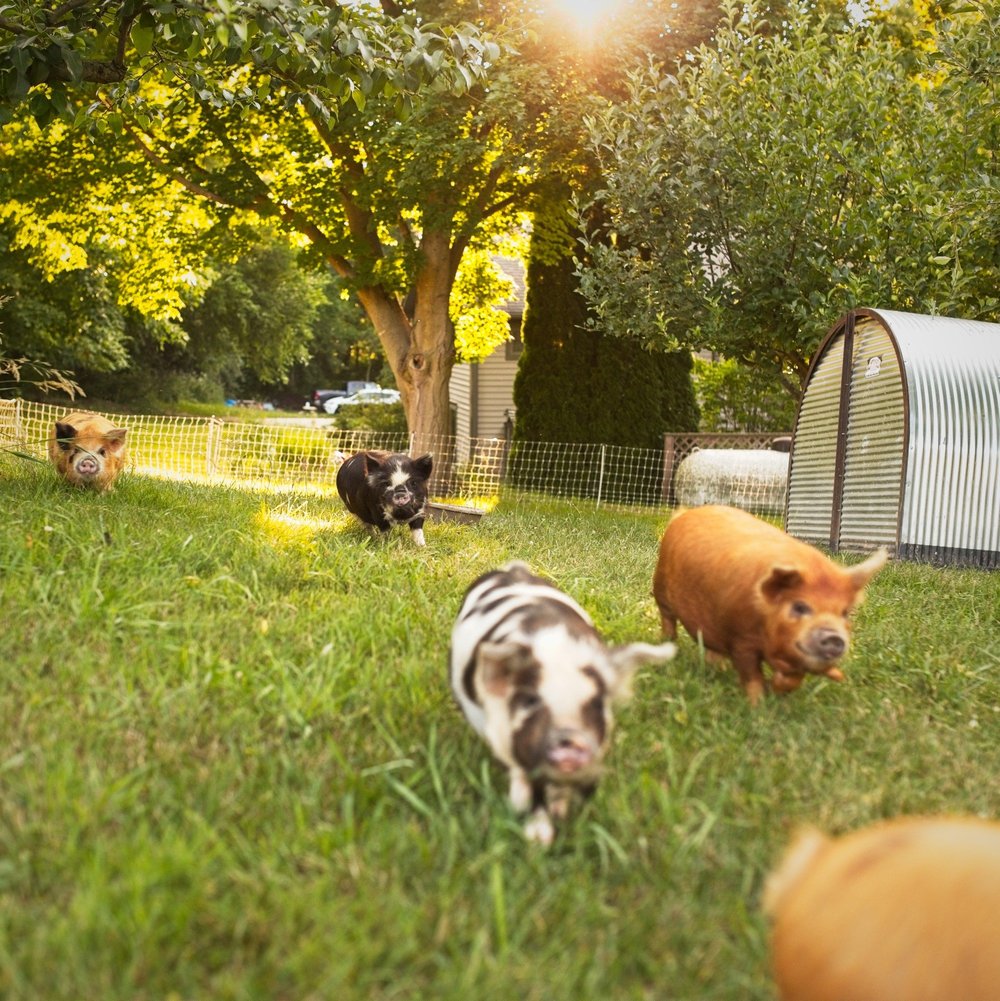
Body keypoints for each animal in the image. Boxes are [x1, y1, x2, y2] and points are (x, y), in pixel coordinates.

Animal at [450, 561, 675, 845]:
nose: (571, 740)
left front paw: (559, 814)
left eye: (597, 703)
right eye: (530, 700)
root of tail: (513, 569)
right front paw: (537, 838)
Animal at [652, 505, 886, 704]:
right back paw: (669, 644)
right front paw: (758, 705)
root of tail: (684, 513)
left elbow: (793, 679)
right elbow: (751, 675)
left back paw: (717, 667)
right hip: (661, 588)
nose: (834, 637)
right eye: (799, 607)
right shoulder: (741, 640)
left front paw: (776, 689)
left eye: (845, 613)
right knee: (668, 618)